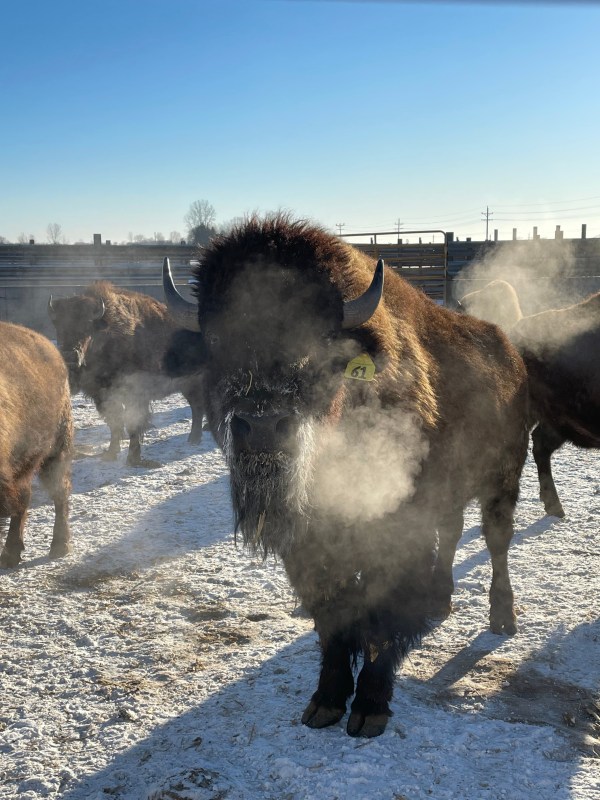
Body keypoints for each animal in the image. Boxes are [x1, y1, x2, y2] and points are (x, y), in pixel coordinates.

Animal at [48, 282, 205, 467]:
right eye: (58, 325)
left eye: (87, 325)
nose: (70, 356)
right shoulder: (102, 396)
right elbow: (114, 423)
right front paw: (110, 454)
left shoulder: (135, 395)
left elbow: (133, 424)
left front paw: (132, 459)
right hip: (188, 385)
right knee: (197, 407)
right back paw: (193, 439)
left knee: (199, 407)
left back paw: (196, 438)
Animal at [163, 214, 529, 737]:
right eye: (215, 340)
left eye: (321, 341)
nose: (262, 426)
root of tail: (509, 350)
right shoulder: (307, 546)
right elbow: (332, 616)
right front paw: (326, 703)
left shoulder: (394, 532)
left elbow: (379, 615)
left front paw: (370, 708)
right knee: (453, 533)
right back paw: (440, 601)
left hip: (504, 479)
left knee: (497, 544)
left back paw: (503, 619)